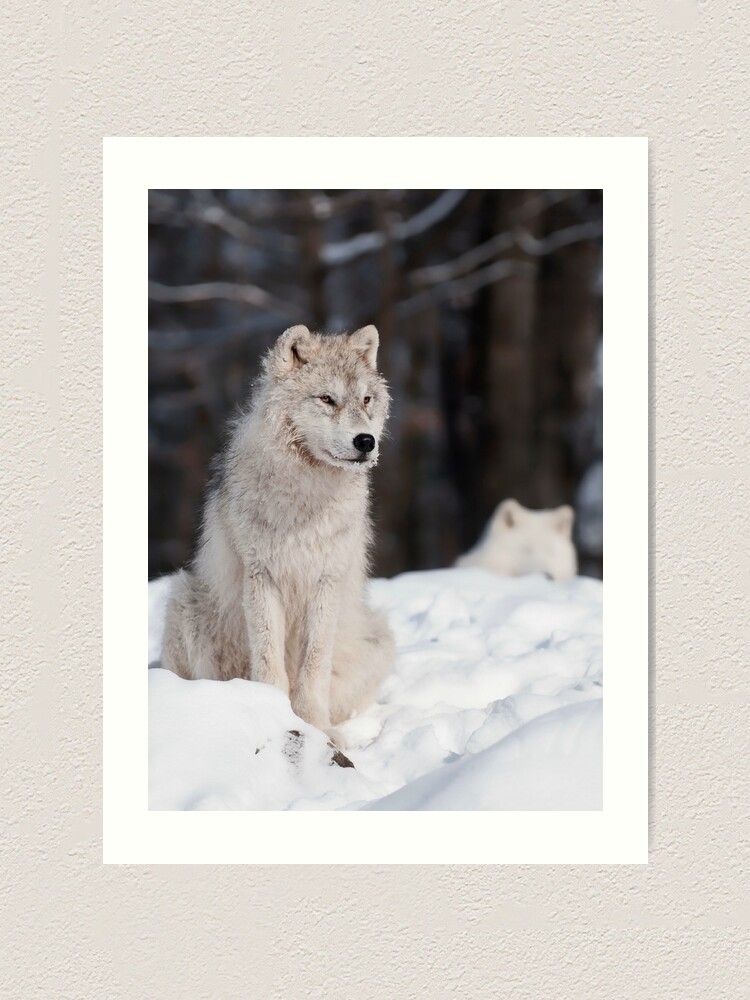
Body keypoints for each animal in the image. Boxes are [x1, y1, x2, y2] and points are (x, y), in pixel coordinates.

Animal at [161, 324, 395, 739]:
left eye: (366, 399)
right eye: (327, 399)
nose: (366, 441)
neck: (306, 498)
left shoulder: (326, 581)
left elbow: (313, 667)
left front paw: (314, 726)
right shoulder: (262, 576)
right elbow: (270, 660)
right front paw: (270, 710)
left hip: (379, 638)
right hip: (185, 600)